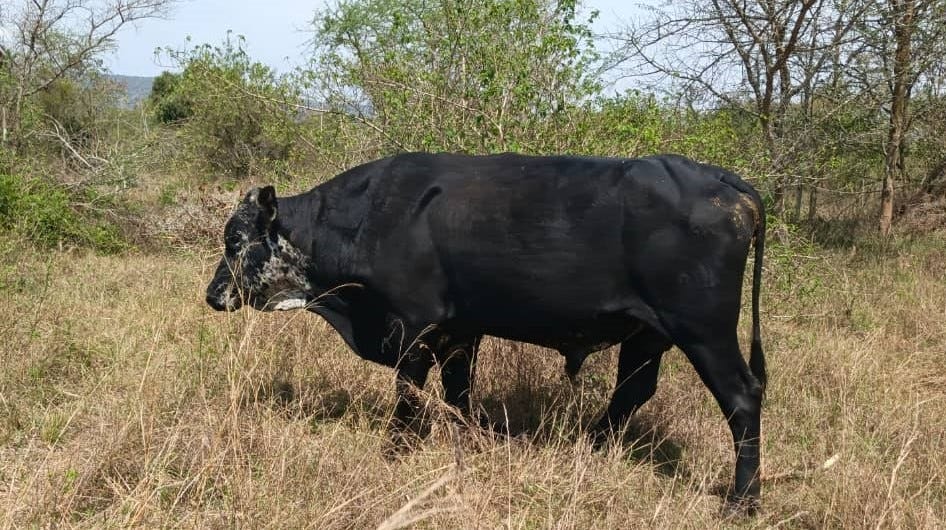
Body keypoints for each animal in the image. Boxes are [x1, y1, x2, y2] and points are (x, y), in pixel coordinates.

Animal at [205, 152, 767, 512]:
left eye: (234, 240)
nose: (212, 295)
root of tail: (725, 182)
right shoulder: (460, 332)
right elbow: (458, 394)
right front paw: (468, 445)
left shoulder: (413, 326)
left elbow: (408, 393)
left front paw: (396, 451)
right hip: (648, 334)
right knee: (632, 391)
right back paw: (590, 448)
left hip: (704, 332)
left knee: (742, 398)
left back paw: (743, 499)